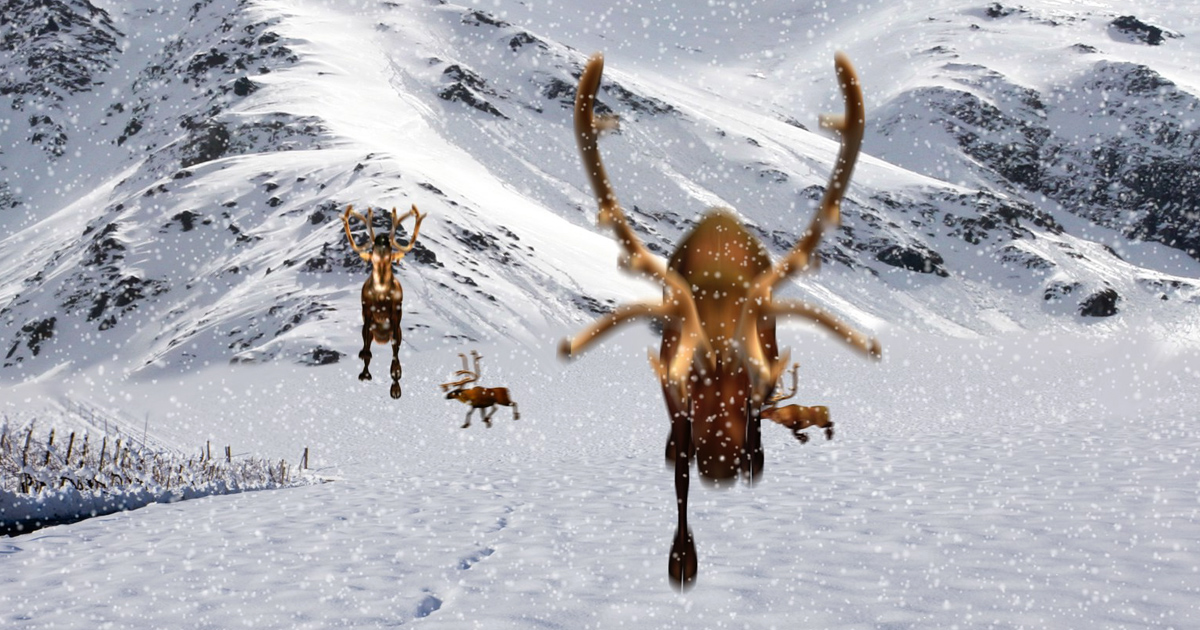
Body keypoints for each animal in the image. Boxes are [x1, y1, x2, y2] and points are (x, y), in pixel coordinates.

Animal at [342, 203, 427, 399]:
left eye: (389, 245)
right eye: (373, 245)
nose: (382, 239)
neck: (381, 293)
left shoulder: (397, 311)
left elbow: (395, 353)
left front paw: (395, 389)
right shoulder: (366, 309)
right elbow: (366, 348)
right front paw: (364, 374)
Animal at [559, 51, 880, 588]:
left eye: (753, 386)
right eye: (690, 380)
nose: (720, 467)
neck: (719, 301)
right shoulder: (675, 395)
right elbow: (680, 479)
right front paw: (681, 559)